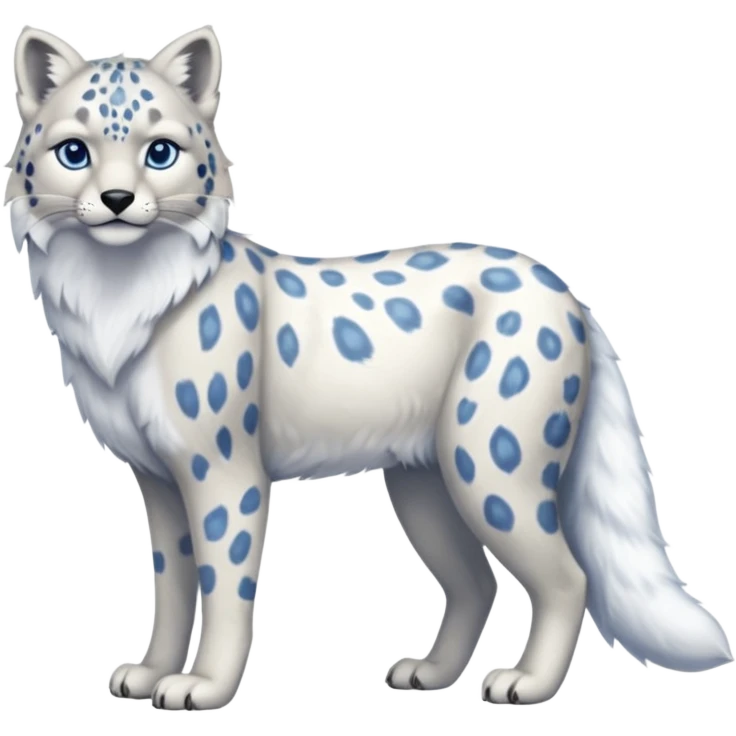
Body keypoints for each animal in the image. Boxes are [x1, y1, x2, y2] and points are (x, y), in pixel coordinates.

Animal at [5, 25, 733, 711]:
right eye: (75, 152)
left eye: (160, 152)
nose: (117, 198)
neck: (124, 305)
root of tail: (566, 291)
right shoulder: (157, 482)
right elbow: (175, 589)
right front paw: (153, 671)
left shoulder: (224, 476)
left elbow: (226, 593)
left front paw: (205, 686)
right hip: (425, 488)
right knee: (477, 583)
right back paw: (431, 675)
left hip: (490, 475)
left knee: (566, 577)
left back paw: (527, 684)